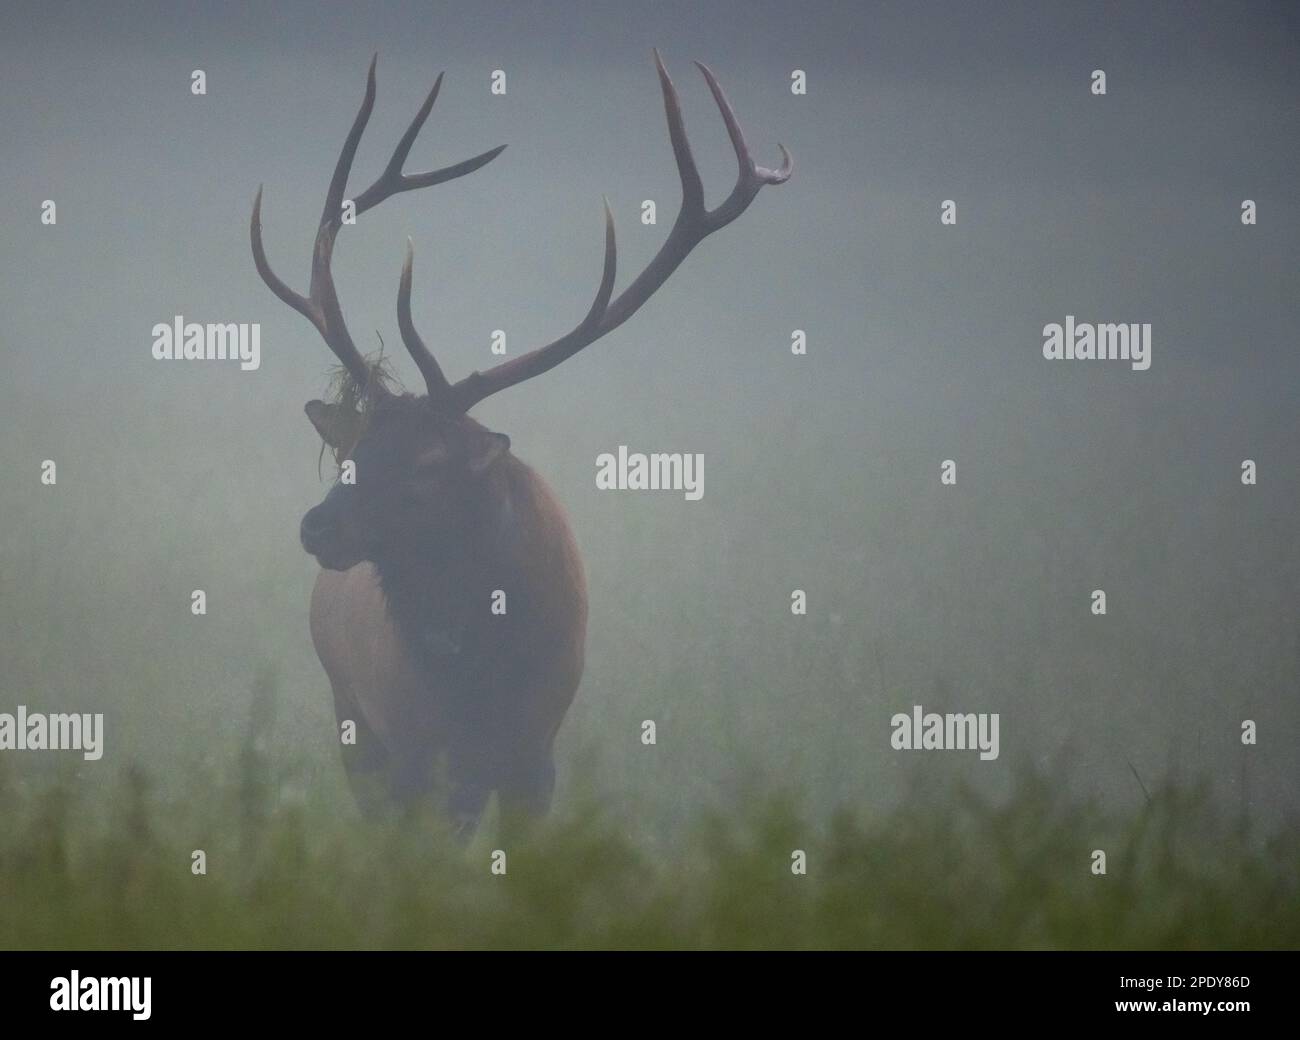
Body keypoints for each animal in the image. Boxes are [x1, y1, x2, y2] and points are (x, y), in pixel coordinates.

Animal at [250, 51, 790, 836]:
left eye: (430, 464)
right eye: (353, 451)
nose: (317, 524)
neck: (483, 674)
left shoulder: (537, 752)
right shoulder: (417, 750)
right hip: (351, 718)